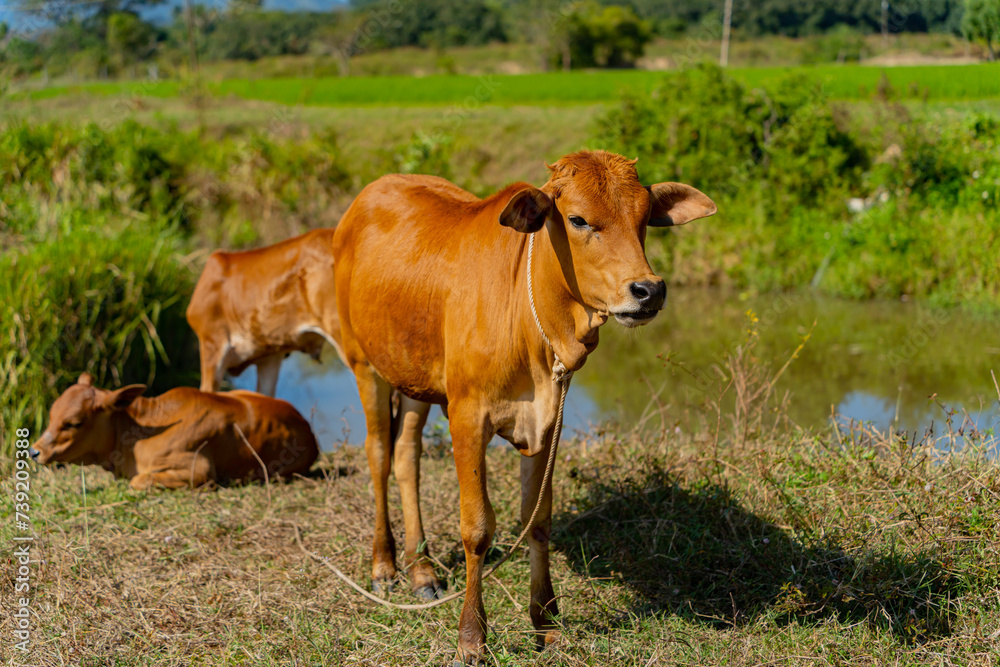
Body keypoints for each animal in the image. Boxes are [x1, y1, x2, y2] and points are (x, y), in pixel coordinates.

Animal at [332, 150, 716, 661]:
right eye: (578, 219)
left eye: (644, 218)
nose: (649, 290)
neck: (536, 328)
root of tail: (367, 196)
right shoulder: (468, 417)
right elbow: (477, 528)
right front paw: (472, 637)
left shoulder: (548, 420)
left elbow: (539, 519)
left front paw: (545, 621)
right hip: (364, 366)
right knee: (377, 454)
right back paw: (384, 565)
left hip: (414, 380)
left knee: (405, 456)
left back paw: (423, 571)